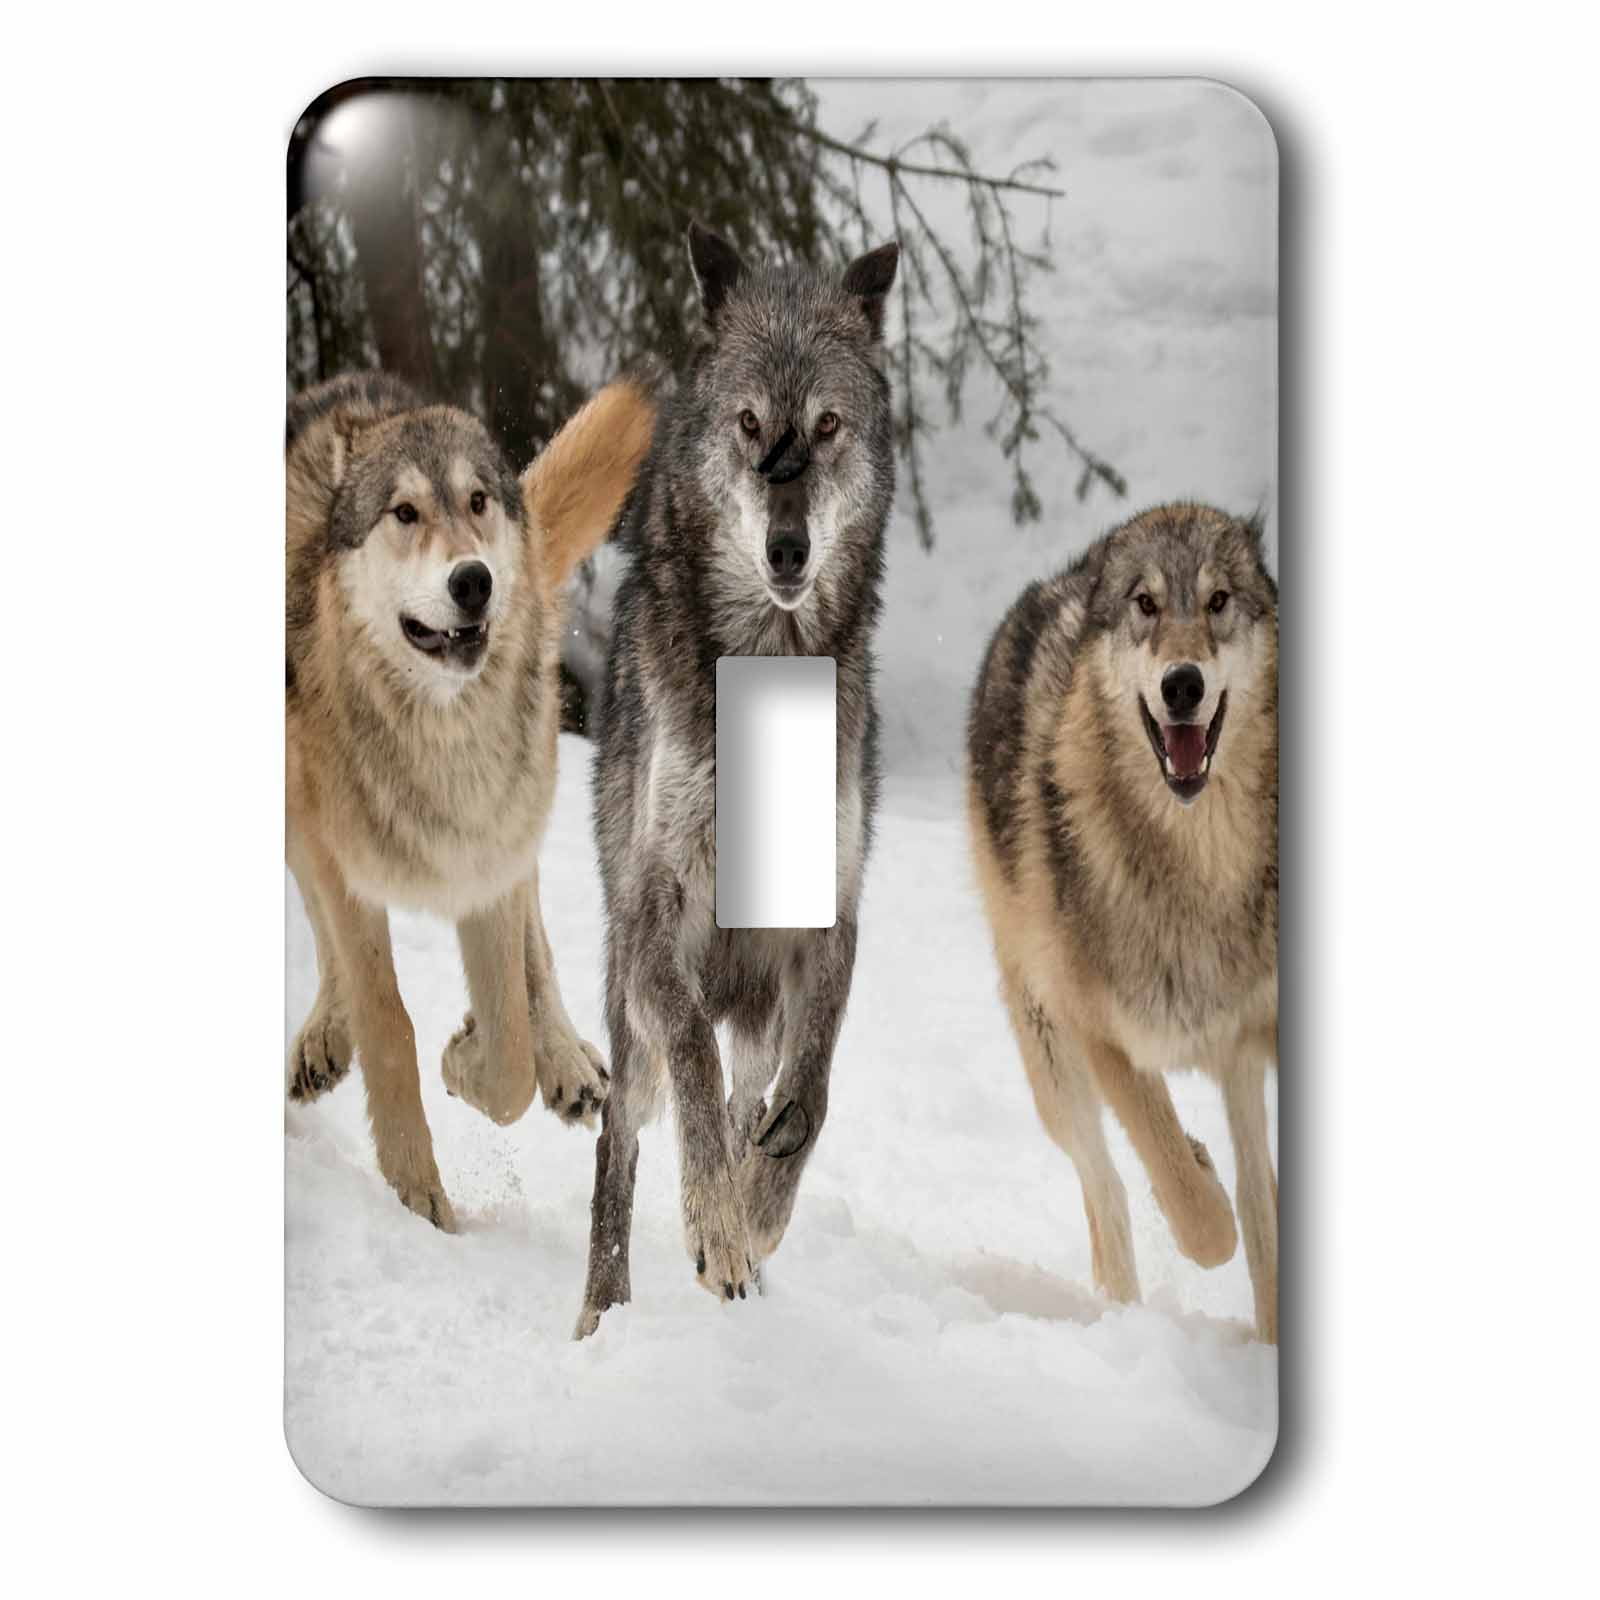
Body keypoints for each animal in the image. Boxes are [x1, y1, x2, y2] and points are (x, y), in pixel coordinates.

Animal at [286, 371, 654, 1228]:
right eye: (405, 513)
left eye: (478, 500)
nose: (473, 579)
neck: (438, 740)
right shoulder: (341, 869)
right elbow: (387, 1021)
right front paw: (418, 1200)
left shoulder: (485, 867)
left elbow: (511, 1057)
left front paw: (464, 1058)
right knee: (325, 942)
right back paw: (325, 1038)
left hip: (519, 819)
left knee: (538, 952)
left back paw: (569, 1063)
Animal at [573, 223, 900, 1337]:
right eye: (750, 423)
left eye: (828, 425)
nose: (786, 547)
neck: (768, 659)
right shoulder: (656, 918)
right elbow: (691, 1061)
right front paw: (715, 1222)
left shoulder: (831, 916)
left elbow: (815, 1094)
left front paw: (755, 1218)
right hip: (624, 1016)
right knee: (624, 1130)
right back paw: (602, 1315)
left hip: (759, 1006)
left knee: (752, 1089)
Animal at [966, 503, 1278, 1341]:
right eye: (1144, 604)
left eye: (1218, 600)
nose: (1183, 684)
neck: (1202, 867)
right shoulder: (1104, 1033)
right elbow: (1191, 1204)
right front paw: (1201, 1188)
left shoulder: (1252, 1036)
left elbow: (1257, 1207)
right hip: (1052, 1057)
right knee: (1105, 1189)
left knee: (1255, 1192)